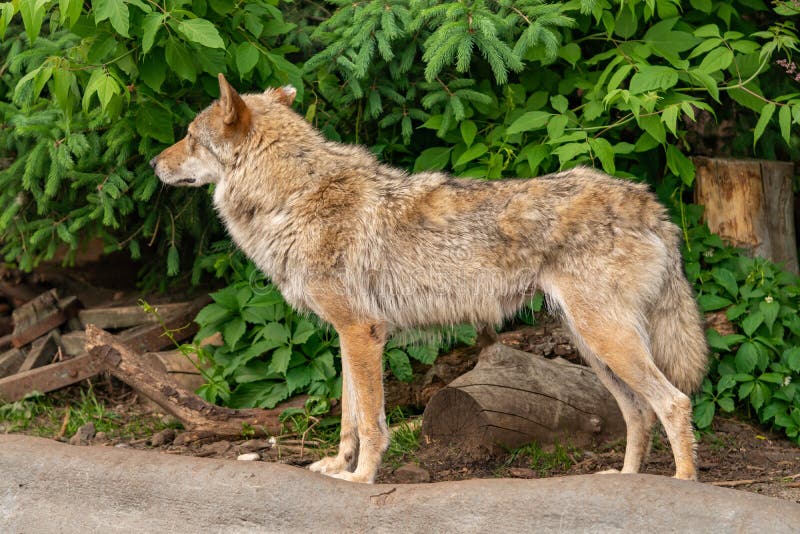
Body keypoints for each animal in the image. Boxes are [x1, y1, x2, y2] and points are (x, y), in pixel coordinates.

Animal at [152, 74, 708, 483]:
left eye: (190, 138)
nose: (155, 163)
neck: (292, 196)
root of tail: (647, 202)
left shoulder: (362, 333)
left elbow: (372, 422)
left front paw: (361, 479)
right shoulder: (348, 335)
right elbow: (349, 417)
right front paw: (337, 467)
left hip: (607, 340)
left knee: (674, 403)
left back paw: (680, 486)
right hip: (594, 346)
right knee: (639, 414)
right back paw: (625, 481)